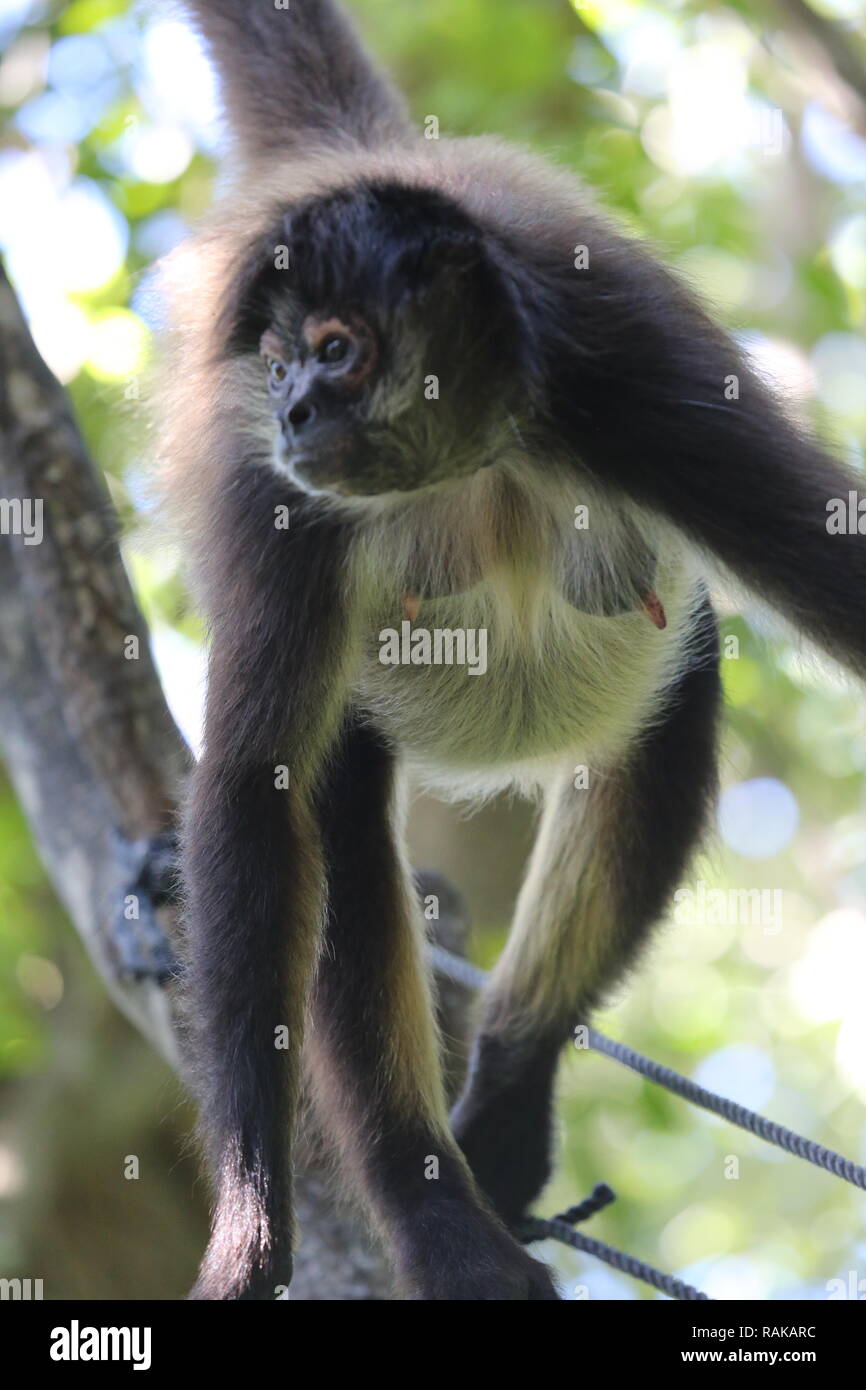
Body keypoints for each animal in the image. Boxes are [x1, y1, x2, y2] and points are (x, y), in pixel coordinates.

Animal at [154, 1, 866, 1300]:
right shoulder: (272, 493)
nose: (292, 409)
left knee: (673, 695)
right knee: (330, 800)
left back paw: (515, 1079)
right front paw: (246, 1228)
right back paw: (428, 1199)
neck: (472, 455)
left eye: (336, 348)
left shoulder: (629, 378)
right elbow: (249, 794)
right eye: (278, 366)